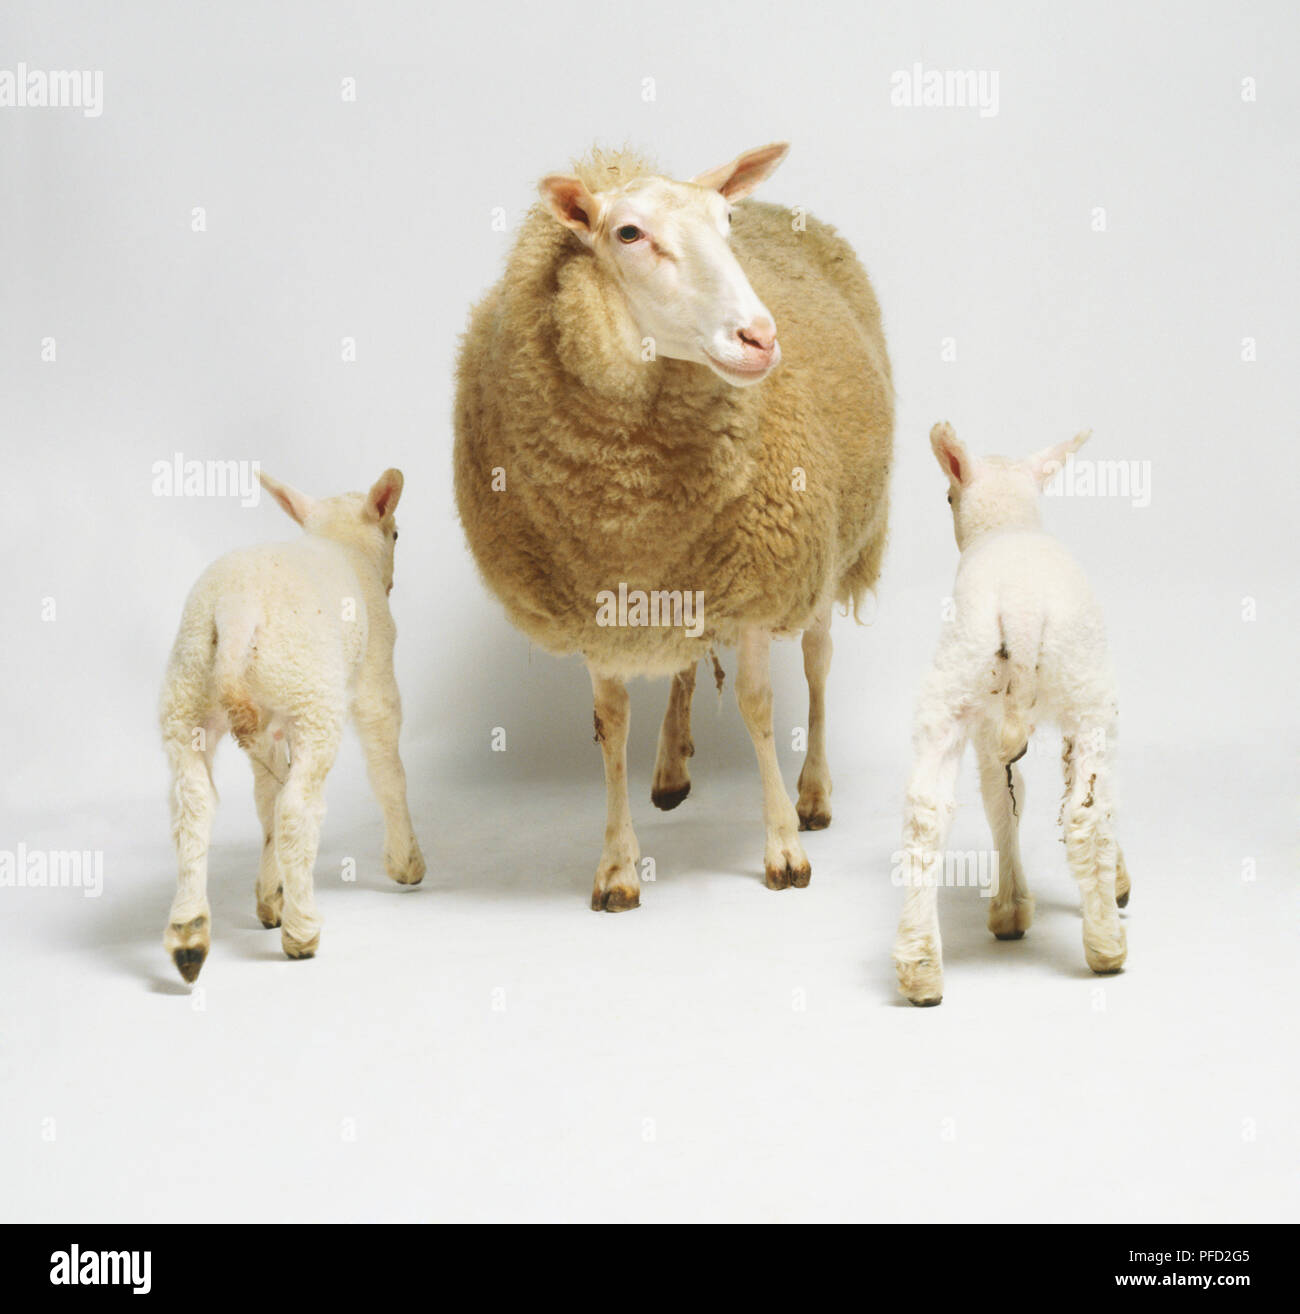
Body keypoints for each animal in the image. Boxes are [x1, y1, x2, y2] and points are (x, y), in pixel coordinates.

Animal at [159, 468, 425, 982]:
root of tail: (235, 609)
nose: (392, 584)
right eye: (397, 534)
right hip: (310, 698)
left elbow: (265, 799)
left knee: (194, 805)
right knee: (298, 810)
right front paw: (406, 863)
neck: (338, 541)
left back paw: (189, 935)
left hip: (188, 695)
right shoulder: (375, 676)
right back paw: (302, 933)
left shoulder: (267, 729)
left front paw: (271, 896)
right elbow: (388, 772)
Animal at [454, 143, 893, 910]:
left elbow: (756, 704)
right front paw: (617, 865)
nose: (760, 338)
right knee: (687, 661)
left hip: (827, 556)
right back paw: (670, 770)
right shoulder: (597, 603)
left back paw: (813, 794)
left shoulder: (762, 581)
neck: (637, 506)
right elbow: (610, 724)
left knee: (817, 661)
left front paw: (783, 847)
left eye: (726, 222)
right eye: (628, 234)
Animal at [892, 423, 1132, 1005]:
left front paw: (1012, 906)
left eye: (948, 497)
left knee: (928, 812)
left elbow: (1007, 800)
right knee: (1087, 813)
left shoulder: (990, 725)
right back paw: (1105, 947)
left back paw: (920, 968)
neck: (1010, 523)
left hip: (956, 679)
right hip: (1085, 685)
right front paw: (1116, 884)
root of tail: (1019, 608)